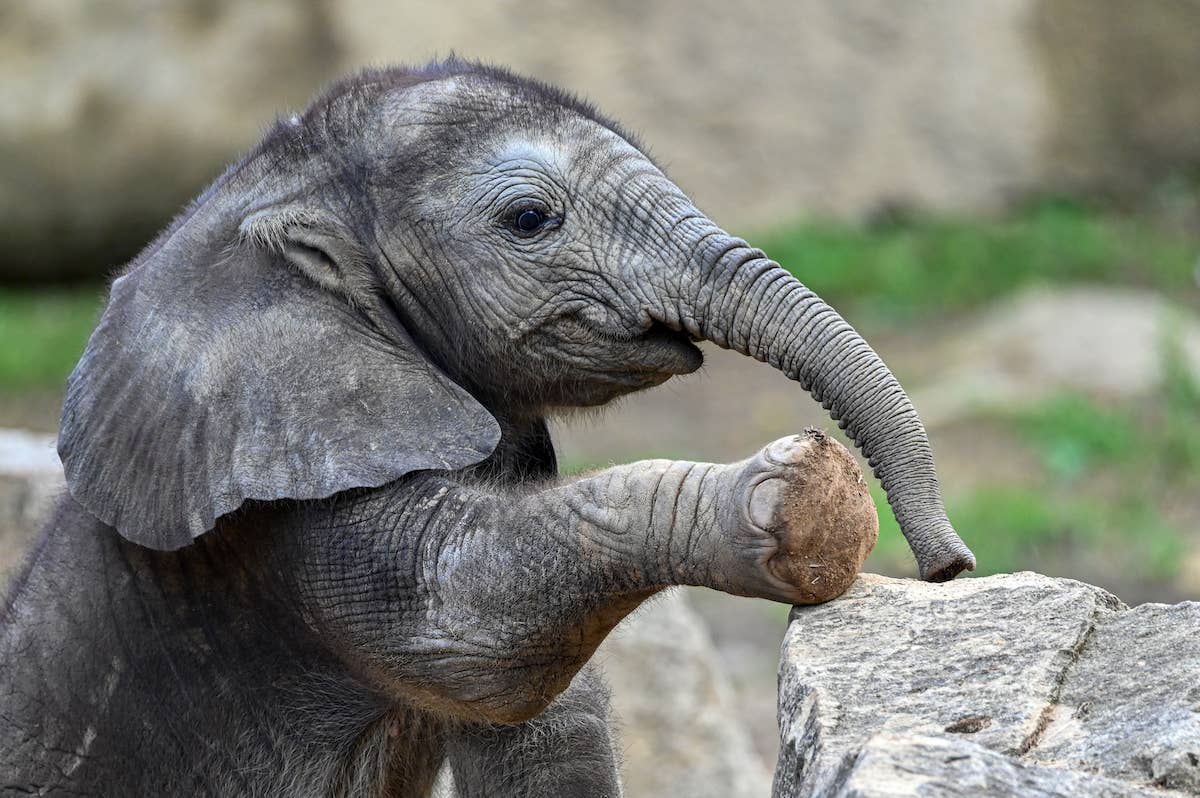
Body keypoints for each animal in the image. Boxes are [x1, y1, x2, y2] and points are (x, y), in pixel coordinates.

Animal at [0, 59, 974, 796]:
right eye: (530, 219)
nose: (949, 567)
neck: (258, 192)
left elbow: (545, 714)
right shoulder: (277, 489)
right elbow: (471, 626)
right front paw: (806, 495)